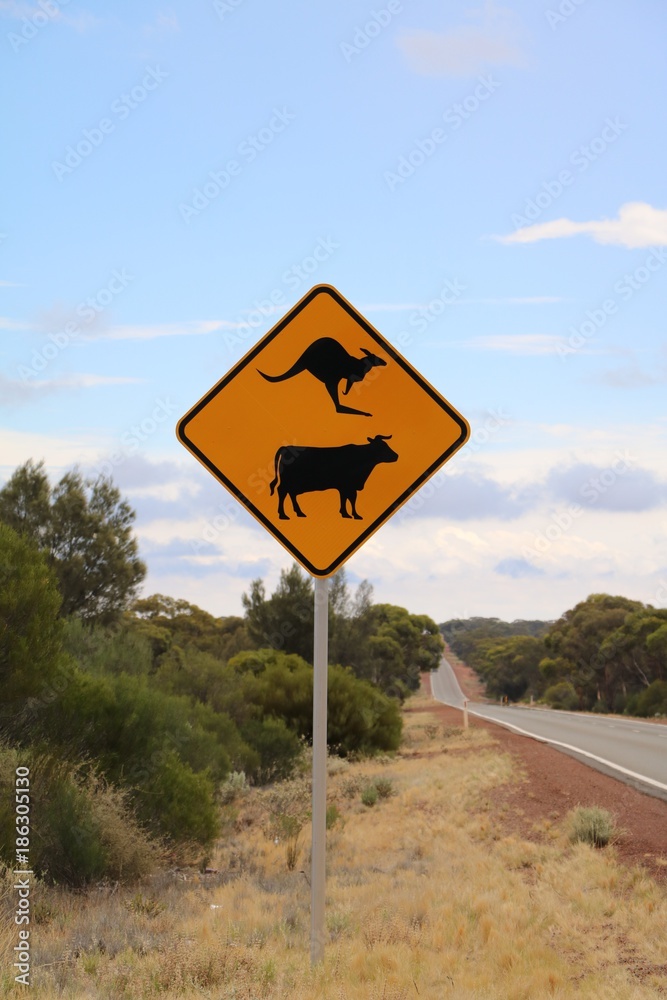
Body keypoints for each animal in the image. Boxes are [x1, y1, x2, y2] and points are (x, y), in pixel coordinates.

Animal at [269, 435, 398, 520]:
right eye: (382, 446)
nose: (396, 456)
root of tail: (286, 447)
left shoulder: (346, 486)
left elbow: (346, 498)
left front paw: (347, 514)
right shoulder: (348, 485)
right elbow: (350, 499)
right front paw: (352, 514)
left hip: (293, 482)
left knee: (291, 494)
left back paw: (299, 512)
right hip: (288, 480)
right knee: (282, 492)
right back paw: (283, 515)